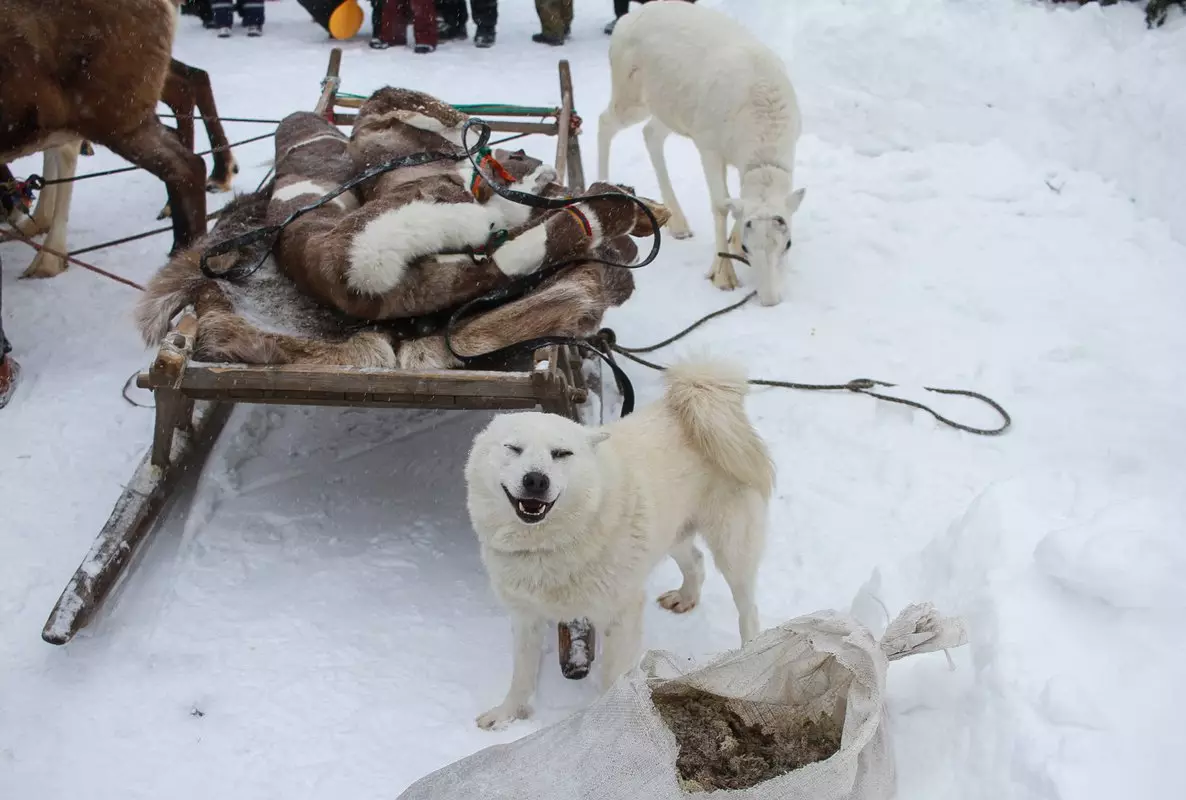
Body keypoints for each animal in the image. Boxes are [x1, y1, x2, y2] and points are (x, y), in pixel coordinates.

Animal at [462, 360, 778, 730]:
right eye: (513, 449)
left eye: (561, 454)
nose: (536, 480)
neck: (550, 544)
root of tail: (699, 398)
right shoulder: (526, 616)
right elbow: (521, 676)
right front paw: (507, 716)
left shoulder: (621, 616)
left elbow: (612, 678)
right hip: (670, 532)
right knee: (696, 561)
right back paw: (685, 598)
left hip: (732, 550)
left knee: (748, 609)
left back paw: (751, 654)